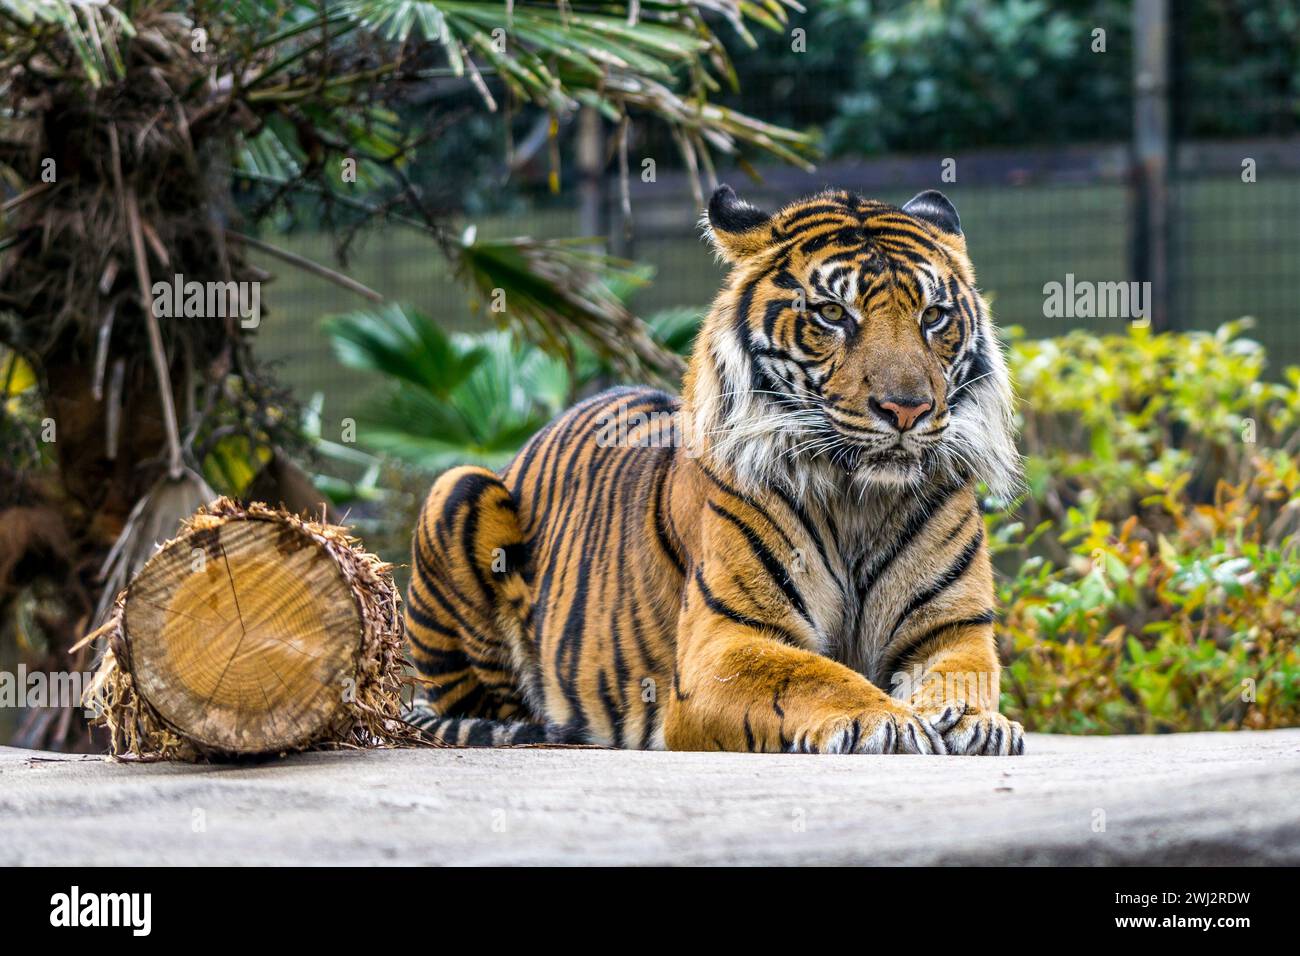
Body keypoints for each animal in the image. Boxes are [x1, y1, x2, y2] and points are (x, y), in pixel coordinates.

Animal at [403, 185, 1025, 755]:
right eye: (832, 314)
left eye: (933, 316)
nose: (907, 409)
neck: (859, 500)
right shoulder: (722, 644)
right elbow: (812, 675)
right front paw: (884, 719)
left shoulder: (953, 629)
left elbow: (963, 677)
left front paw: (976, 722)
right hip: (457, 488)